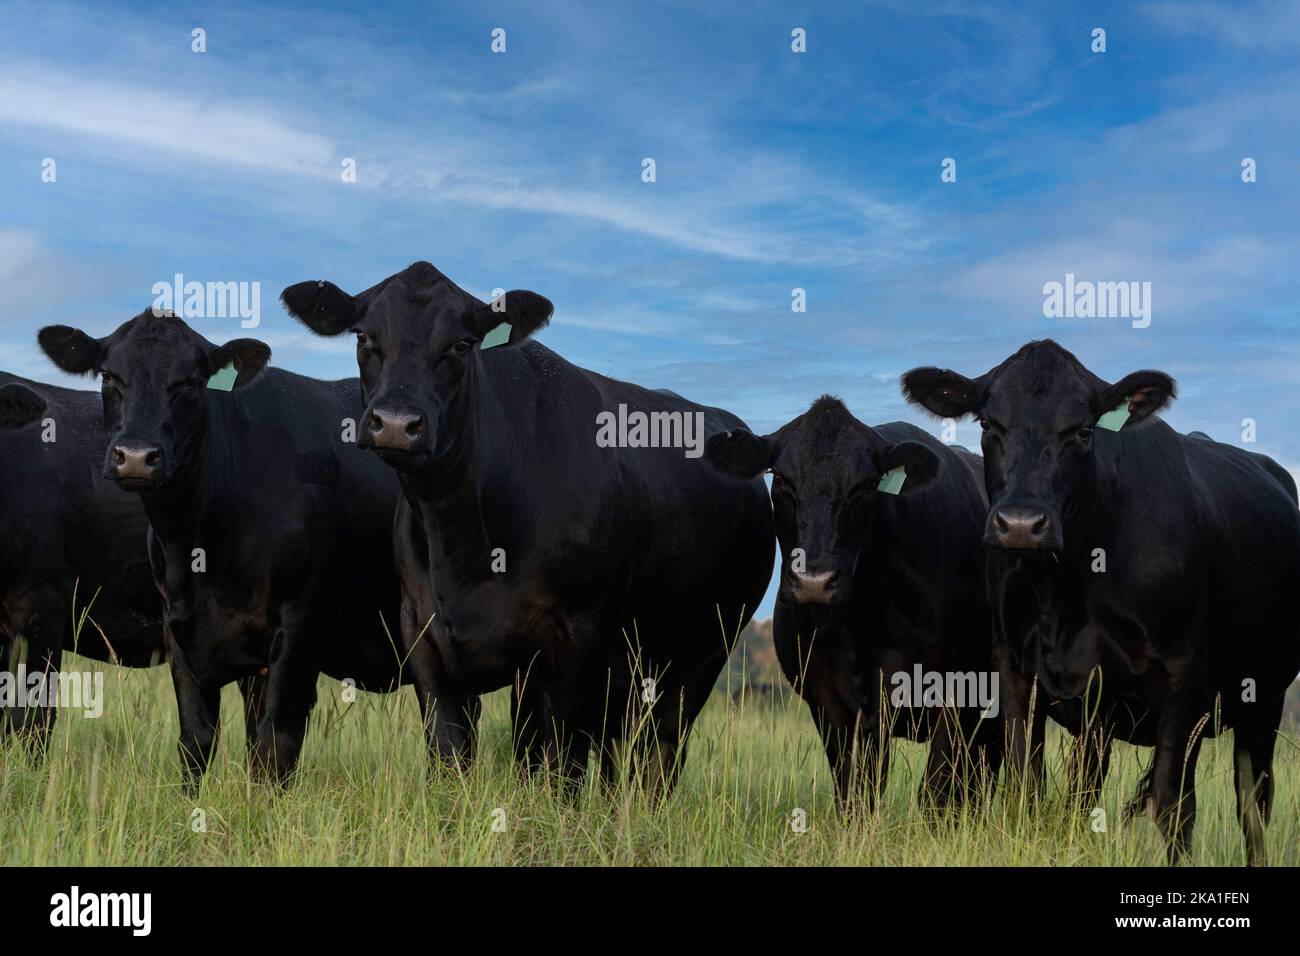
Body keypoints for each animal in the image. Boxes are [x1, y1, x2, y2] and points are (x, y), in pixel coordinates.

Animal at [37, 312, 405, 792]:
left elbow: (275, 743)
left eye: (191, 382)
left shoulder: (304, 621)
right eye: (108, 376)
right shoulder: (180, 628)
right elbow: (197, 739)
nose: (135, 456)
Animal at [280, 262, 773, 790]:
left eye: (462, 344)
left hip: (701, 656)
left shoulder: (579, 641)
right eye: (364, 335)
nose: (395, 423)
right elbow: (453, 759)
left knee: (656, 759)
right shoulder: (424, 639)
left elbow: (563, 771)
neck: (463, 544)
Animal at [705, 395, 1000, 809]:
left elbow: (937, 791)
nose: (814, 582)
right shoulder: (832, 702)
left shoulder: (960, 693)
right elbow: (855, 793)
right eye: (781, 479)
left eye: (864, 487)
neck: (865, 620)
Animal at [902, 339, 1300, 864]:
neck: (1065, 590)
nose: (1022, 524)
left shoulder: (1182, 676)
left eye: (1084, 429)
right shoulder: (1016, 667)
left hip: (1263, 701)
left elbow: (1174, 806)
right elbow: (1027, 784)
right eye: (988, 423)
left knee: (1253, 805)